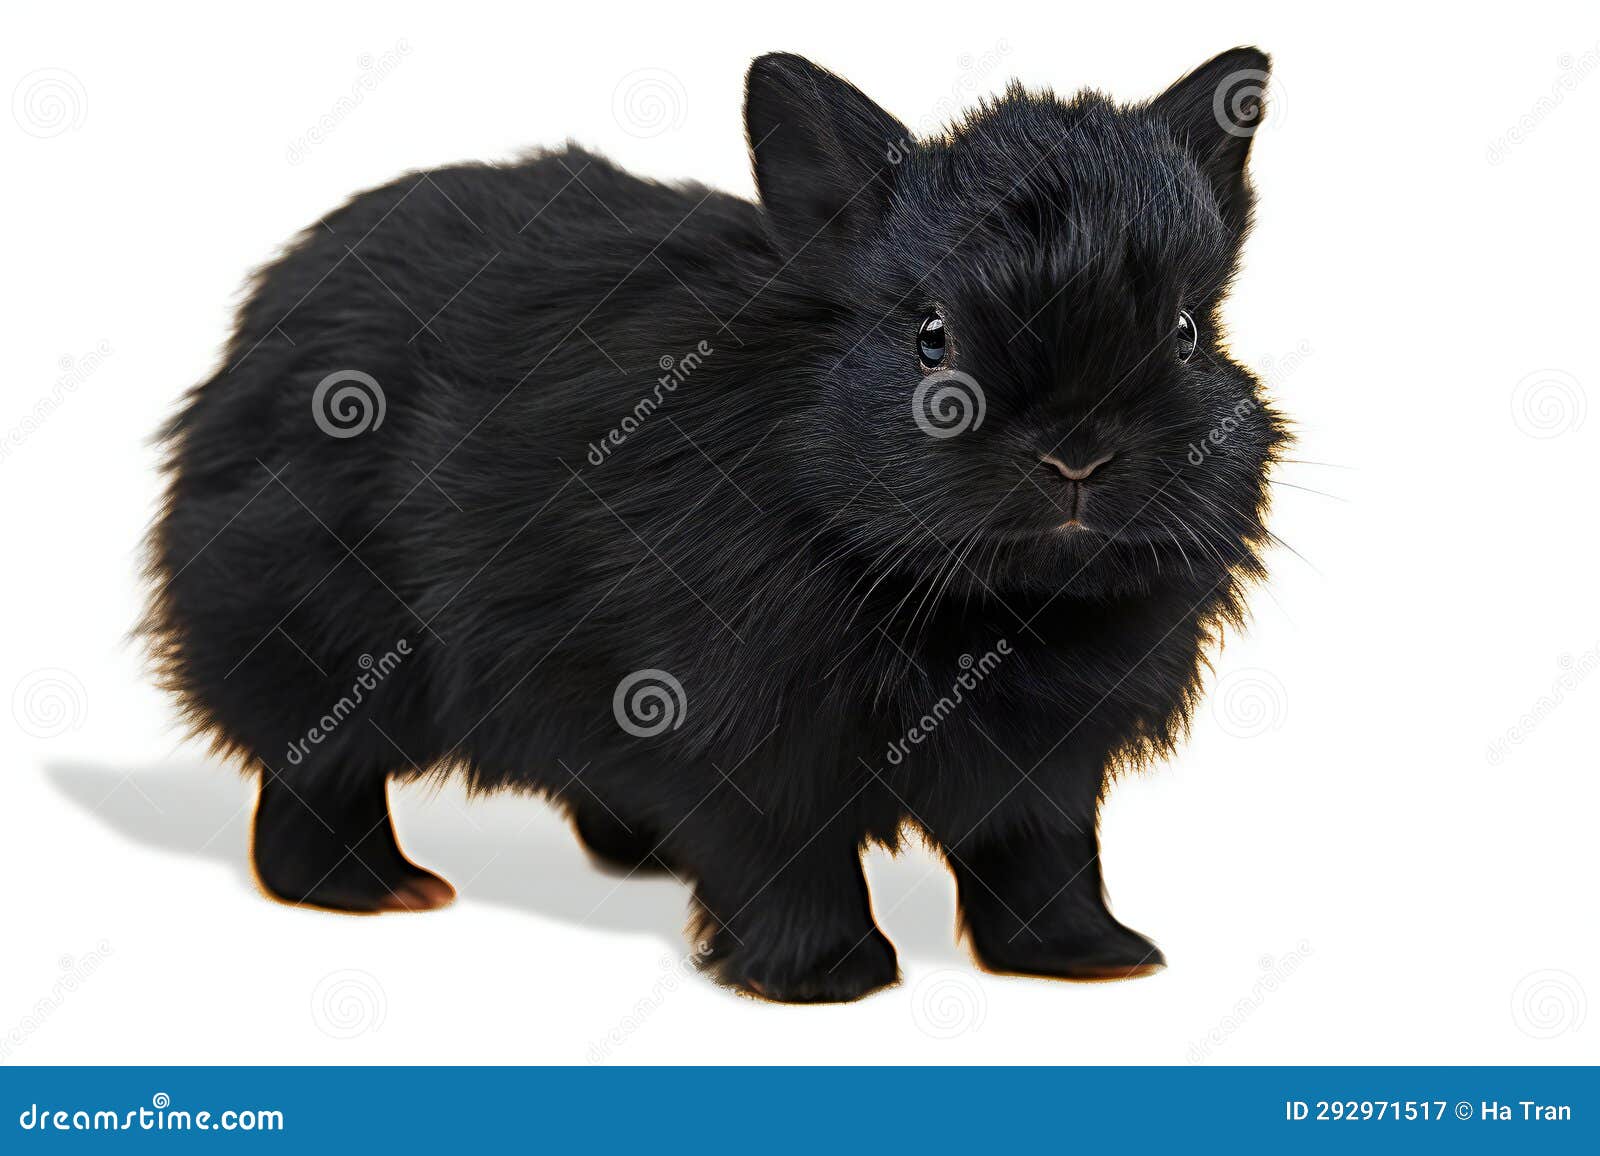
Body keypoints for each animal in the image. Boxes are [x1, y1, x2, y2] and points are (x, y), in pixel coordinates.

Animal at [142, 46, 1286, 1003]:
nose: (1077, 455)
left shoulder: (1046, 768)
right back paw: (378, 890)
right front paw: (828, 980)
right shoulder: (751, 742)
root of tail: (265, 322)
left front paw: (1096, 960)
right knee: (311, 781)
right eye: (932, 338)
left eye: (1186, 332)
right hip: (316, 641)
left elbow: (1045, 857)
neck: (995, 606)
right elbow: (790, 863)